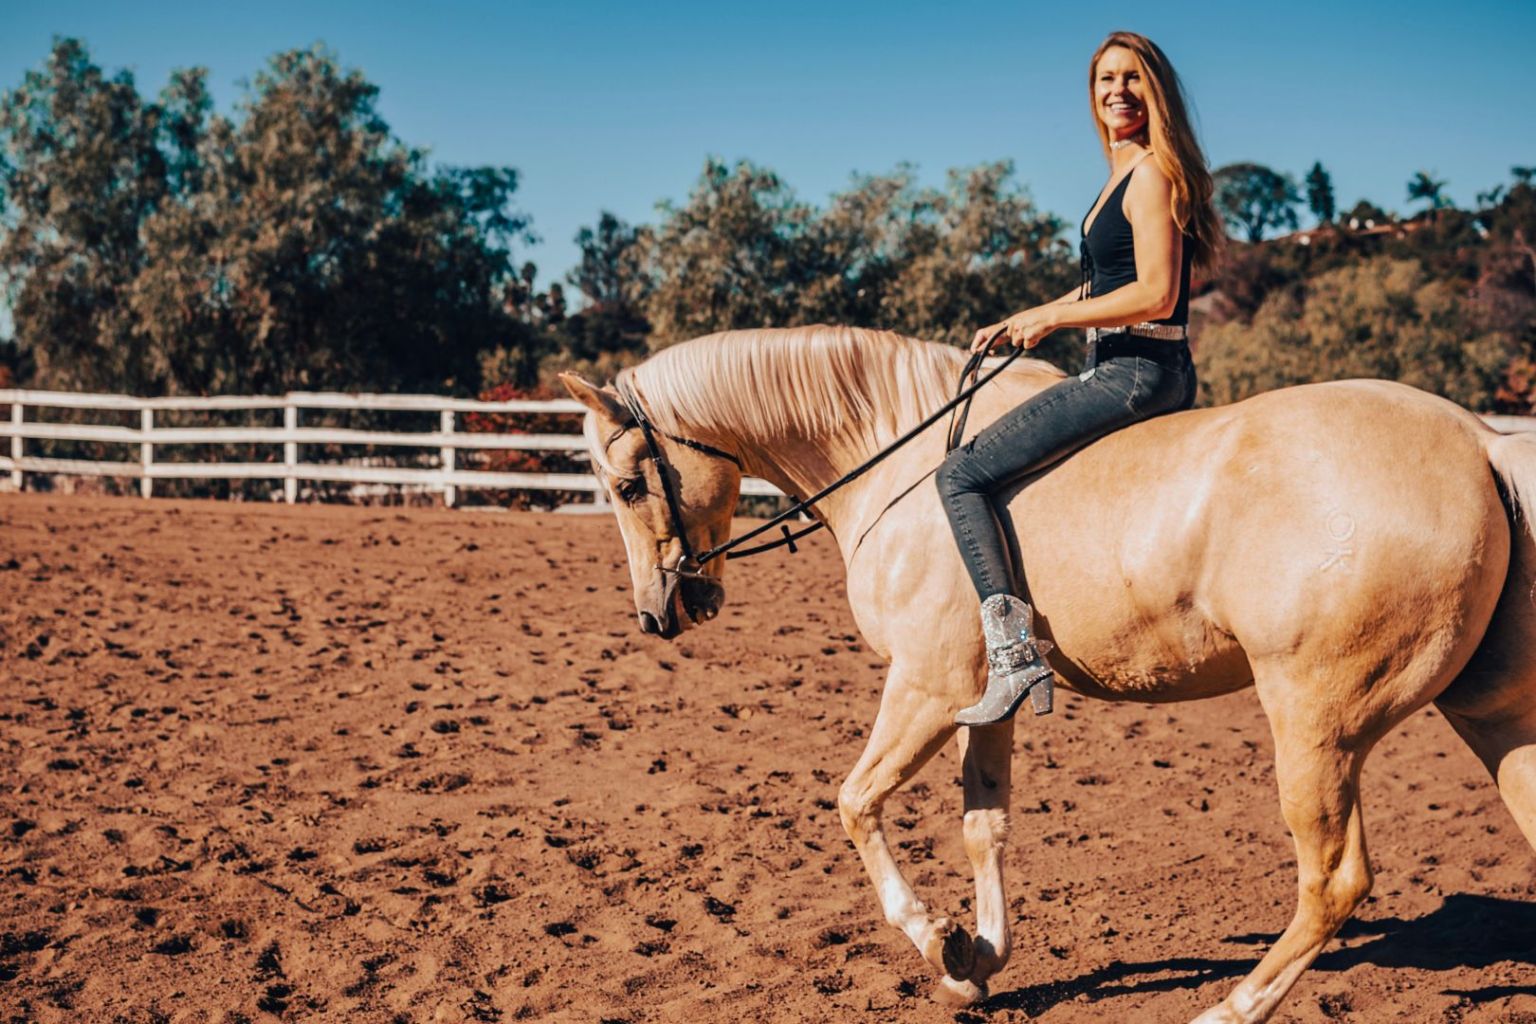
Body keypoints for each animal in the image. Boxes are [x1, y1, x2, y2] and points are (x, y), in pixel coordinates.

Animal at [558, 325, 1536, 1024]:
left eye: (627, 485)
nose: (659, 613)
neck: (899, 464)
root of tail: (1478, 441)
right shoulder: (985, 702)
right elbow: (983, 825)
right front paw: (977, 960)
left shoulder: (926, 688)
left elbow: (855, 802)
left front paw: (938, 942)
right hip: (1492, 717)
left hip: (1315, 721)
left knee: (1332, 880)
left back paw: (1228, 1009)